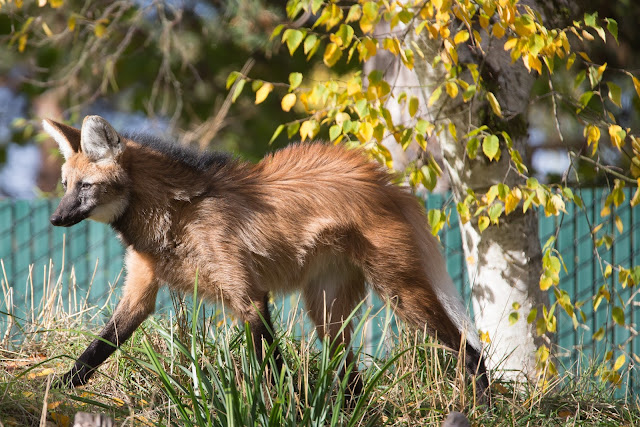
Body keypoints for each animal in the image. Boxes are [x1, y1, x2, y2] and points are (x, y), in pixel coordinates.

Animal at [43, 115, 489, 399]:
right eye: (65, 184)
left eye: (85, 186)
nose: (55, 218)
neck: (173, 213)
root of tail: (386, 182)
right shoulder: (141, 291)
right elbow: (98, 348)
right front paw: (54, 388)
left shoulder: (250, 296)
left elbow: (271, 368)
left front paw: (277, 407)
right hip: (326, 308)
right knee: (349, 373)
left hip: (399, 290)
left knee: (472, 351)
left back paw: (481, 406)